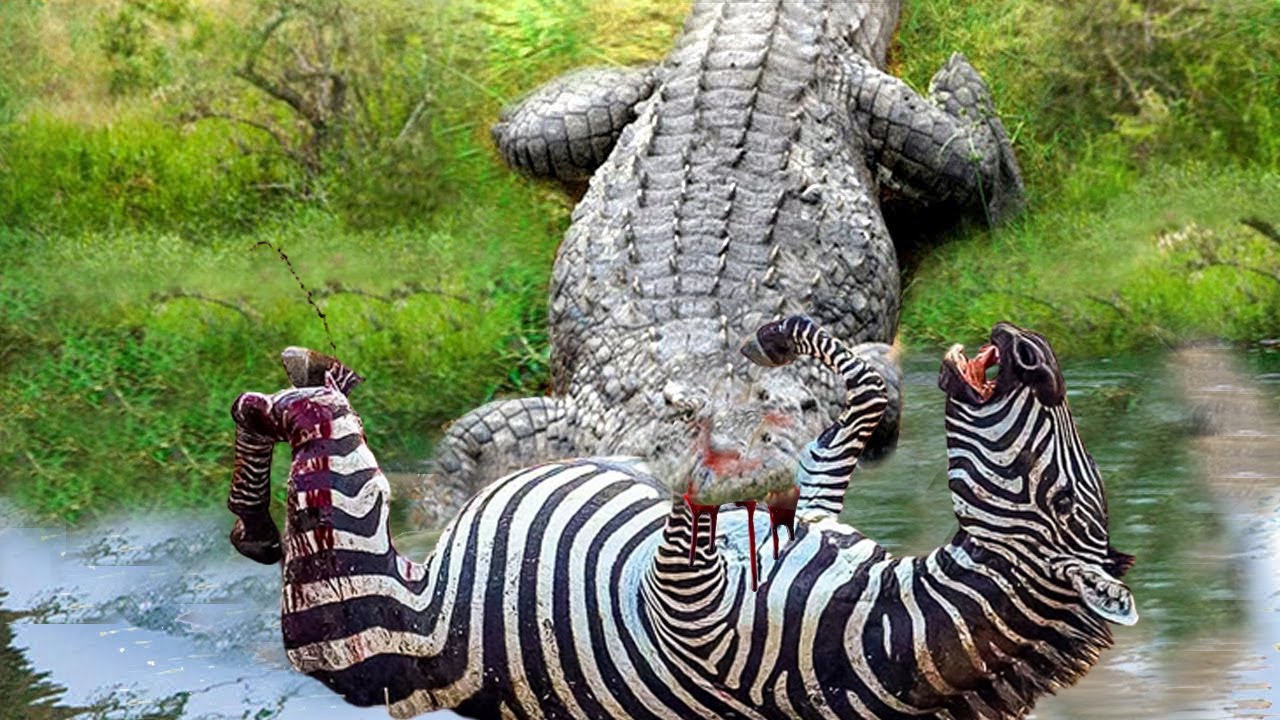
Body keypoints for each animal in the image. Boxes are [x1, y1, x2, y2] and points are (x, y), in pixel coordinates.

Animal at [227, 317, 1136, 719]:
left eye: (1061, 500)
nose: (1030, 351)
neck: (879, 620)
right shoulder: (818, 504)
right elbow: (861, 401)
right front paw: (783, 338)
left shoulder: (687, 608)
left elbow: (697, 499)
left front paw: (713, 431)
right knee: (290, 403)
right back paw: (310, 369)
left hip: (359, 611)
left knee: (303, 432)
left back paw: (269, 475)